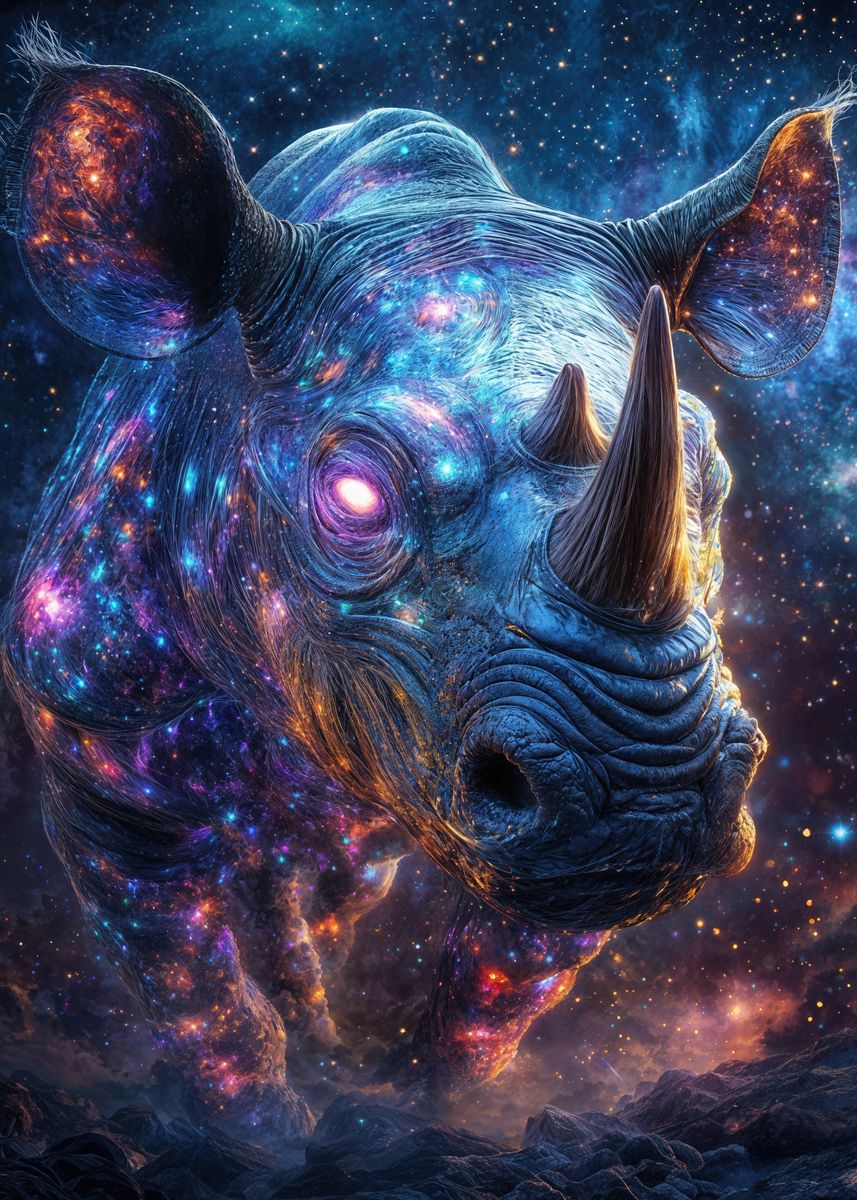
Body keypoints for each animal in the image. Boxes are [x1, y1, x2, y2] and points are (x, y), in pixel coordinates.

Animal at [2, 24, 848, 1139]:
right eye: (354, 494)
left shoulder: (575, 818)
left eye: (709, 482)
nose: (645, 796)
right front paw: (258, 1137)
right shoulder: (93, 730)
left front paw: (431, 1116)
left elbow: (495, 993)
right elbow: (194, 989)